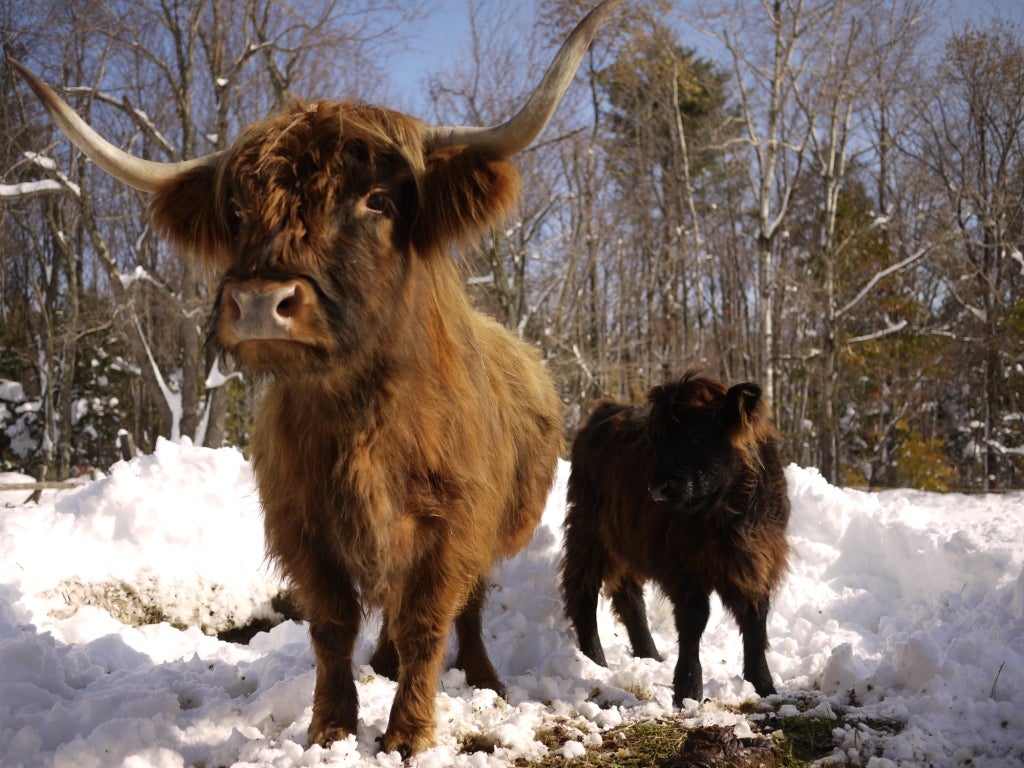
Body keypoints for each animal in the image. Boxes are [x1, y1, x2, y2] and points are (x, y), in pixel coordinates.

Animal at [9, 1, 621, 756]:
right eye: (238, 210)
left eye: (378, 201)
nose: (258, 301)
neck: (359, 414)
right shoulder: (304, 525)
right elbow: (331, 626)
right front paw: (331, 728)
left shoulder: (452, 524)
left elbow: (428, 620)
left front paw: (407, 735)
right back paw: (384, 664)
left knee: (468, 606)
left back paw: (481, 675)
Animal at [560, 371, 790, 707]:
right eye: (657, 441)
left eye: (697, 436)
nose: (657, 488)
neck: (725, 514)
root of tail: (605, 409)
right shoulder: (684, 567)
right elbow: (693, 621)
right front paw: (688, 692)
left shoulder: (757, 563)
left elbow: (756, 622)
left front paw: (764, 687)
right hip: (588, 529)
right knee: (583, 587)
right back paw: (596, 661)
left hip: (627, 537)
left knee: (627, 594)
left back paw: (650, 656)